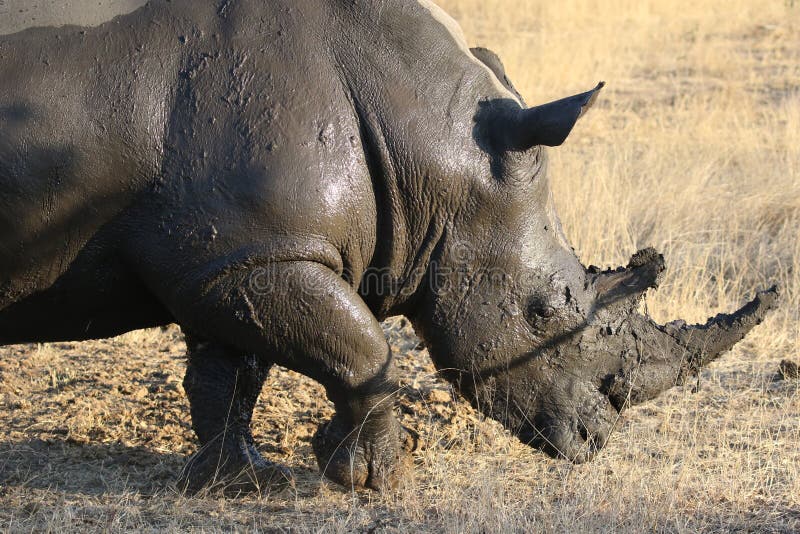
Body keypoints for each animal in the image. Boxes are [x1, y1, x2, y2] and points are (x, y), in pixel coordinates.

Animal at [0, 0, 778, 495]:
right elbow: (359, 346)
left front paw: (240, 482)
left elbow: (232, 373)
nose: (594, 440)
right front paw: (370, 478)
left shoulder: (233, 253)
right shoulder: (250, 258)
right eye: (544, 311)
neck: (422, 137)